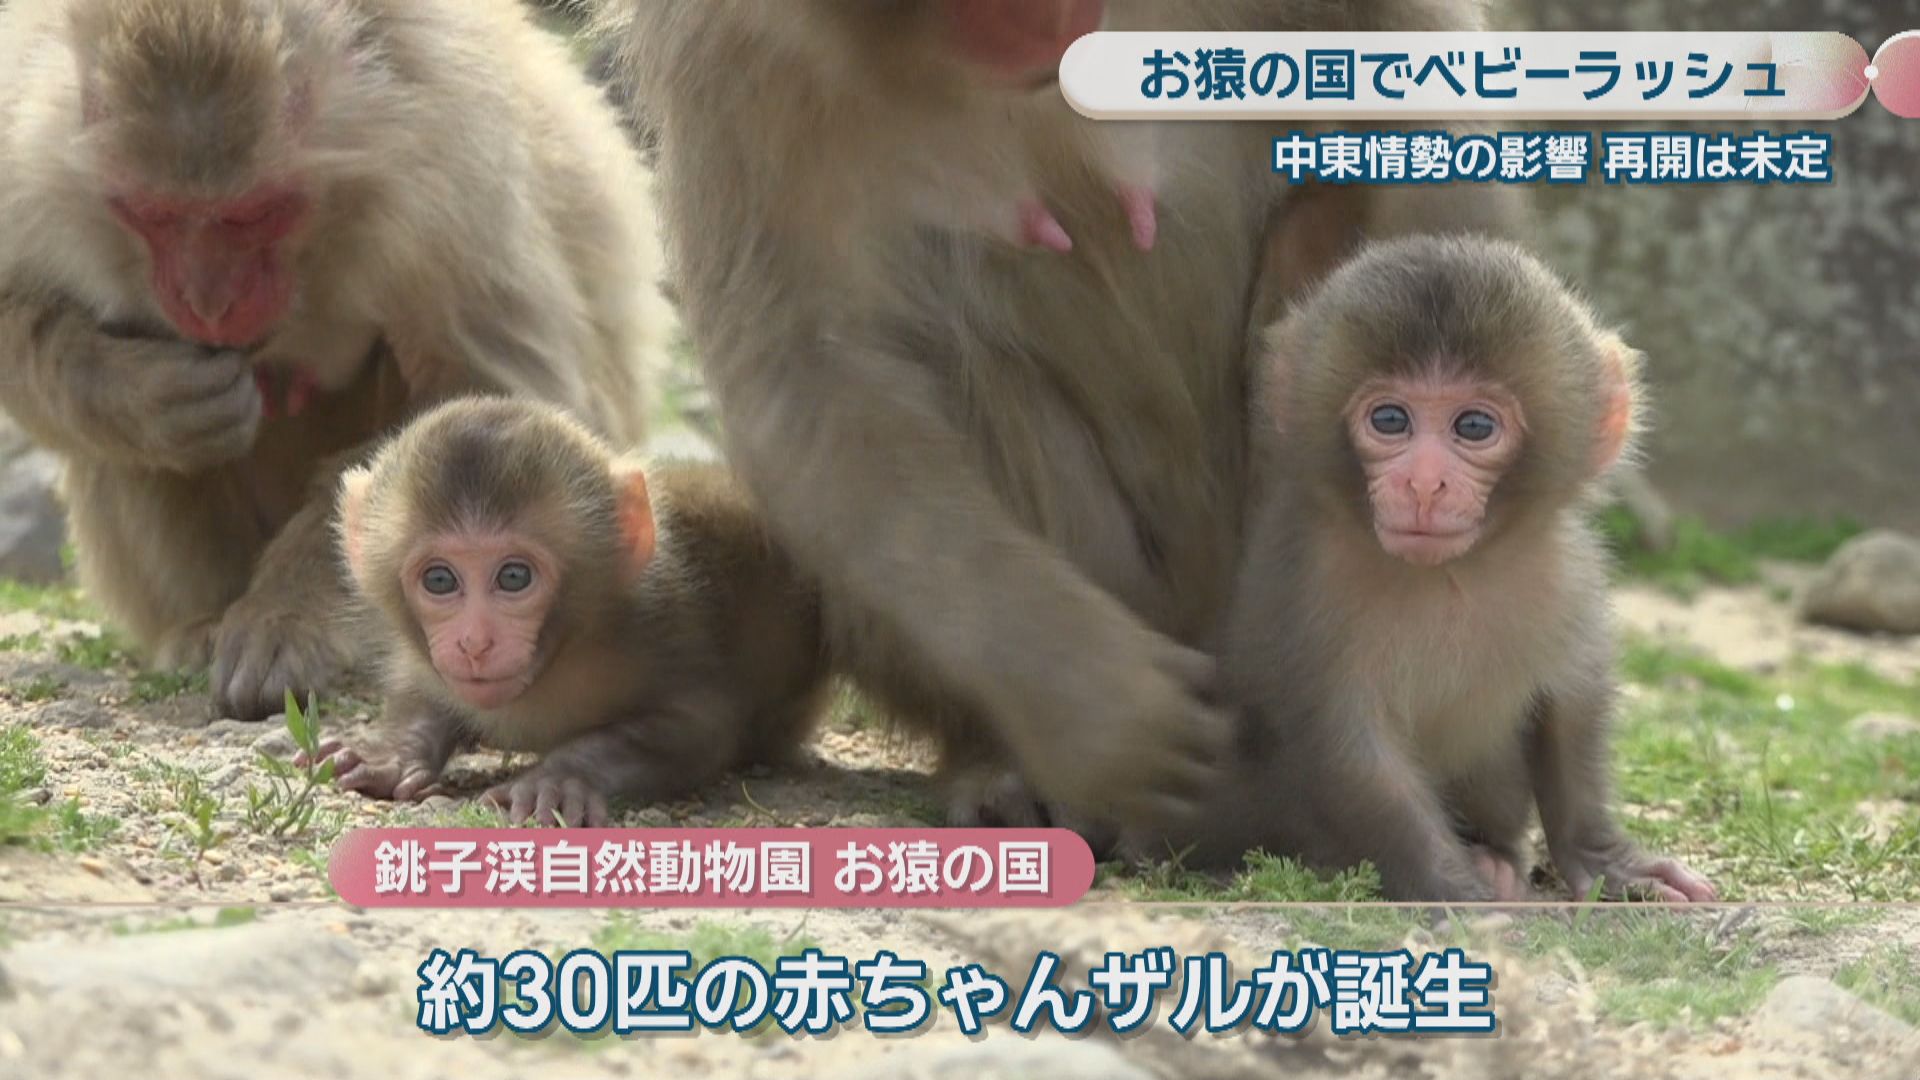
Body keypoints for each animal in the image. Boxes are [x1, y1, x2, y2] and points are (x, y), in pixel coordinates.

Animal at [0, 0, 663, 721]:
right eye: (152, 215)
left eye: (256, 215)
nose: (209, 304)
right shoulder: (23, 148)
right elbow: (14, 306)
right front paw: (149, 396)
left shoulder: (455, 195)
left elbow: (487, 406)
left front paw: (285, 620)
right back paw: (199, 626)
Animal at [308, 397, 828, 828]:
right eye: (440, 580)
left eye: (514, 576)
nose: (474, 642)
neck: (564, 649)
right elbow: (425, 693)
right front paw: (389, 753)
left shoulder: (662, 624)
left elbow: (700, 729)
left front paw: (560, 776)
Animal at [603, 0, 1521, 832]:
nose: (1053, 25)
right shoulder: (731, 54)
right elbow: (816, 369)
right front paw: (1102, 712)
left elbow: (1422, 88)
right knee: (955, 363)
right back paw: (1009, 771)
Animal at [1136, 236, 1718, 903]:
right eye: (1390, 420)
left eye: (1474, 426)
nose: (1422, 483)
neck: (1449, 575)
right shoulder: (1304, 580)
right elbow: (1349, 748)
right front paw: (1454, 886)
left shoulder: (1566, 573)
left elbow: (1572, 701)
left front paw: (1605, 859)